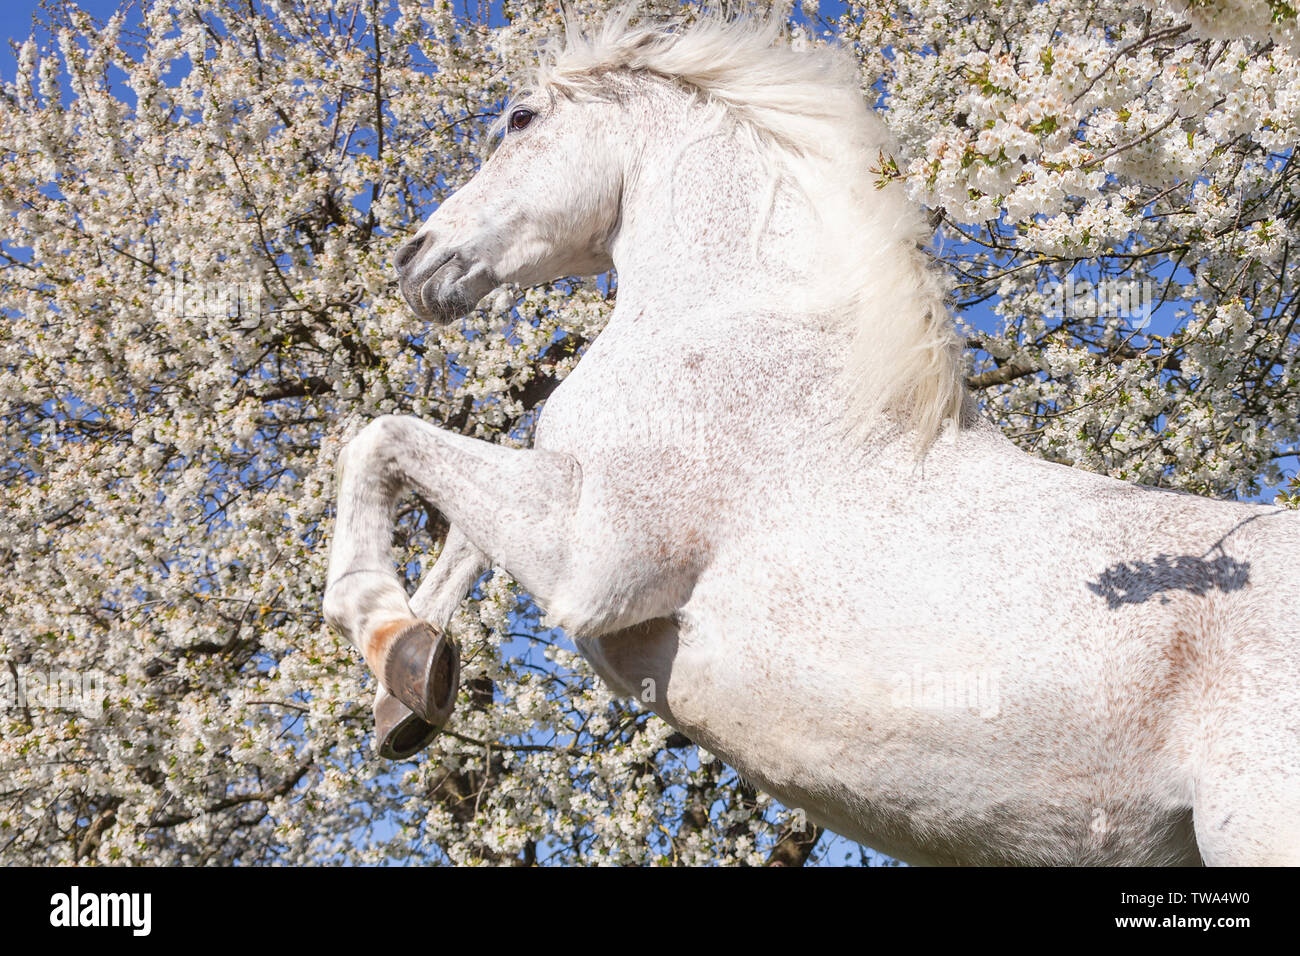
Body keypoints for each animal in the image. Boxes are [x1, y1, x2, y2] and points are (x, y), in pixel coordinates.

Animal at [322, 12, 1300, 865]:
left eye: (521, 120)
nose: (413, 260)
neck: (735, 327)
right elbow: (458, 532)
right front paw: (410, 689)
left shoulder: (595, 566)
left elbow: (382, 439)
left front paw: (389, 636)